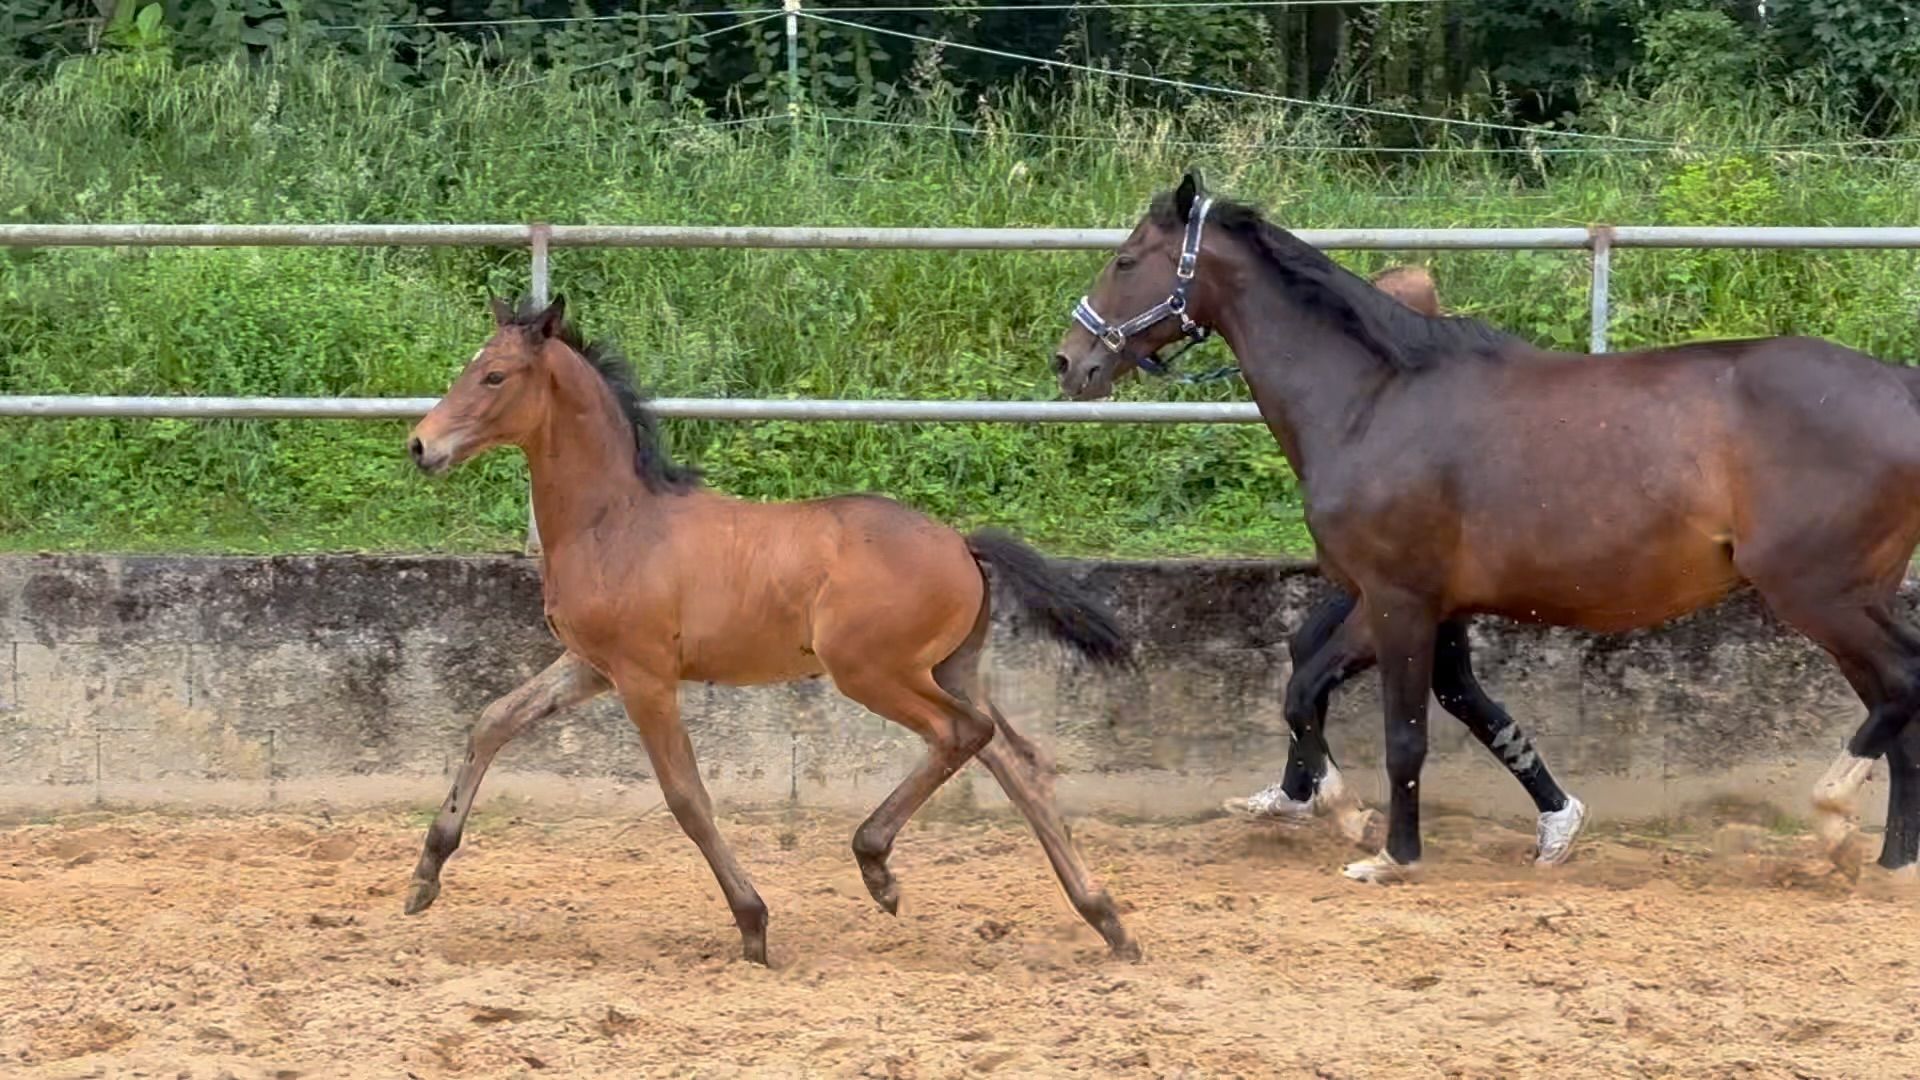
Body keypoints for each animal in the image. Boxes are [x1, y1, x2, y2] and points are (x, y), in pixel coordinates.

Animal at [401, 296, 1140, 963]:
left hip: (873, 672)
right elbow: (491, 721)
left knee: (964, 734)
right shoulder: (588, 665)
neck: (615, 523)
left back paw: (877, 865)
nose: (420, 446)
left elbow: (687, 798)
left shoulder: (644, 678)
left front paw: (752, 923)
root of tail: (962, 545)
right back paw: (1106, 920)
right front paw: (424, 876)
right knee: (1018, 762)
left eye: (495, 376)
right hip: (949, 669)